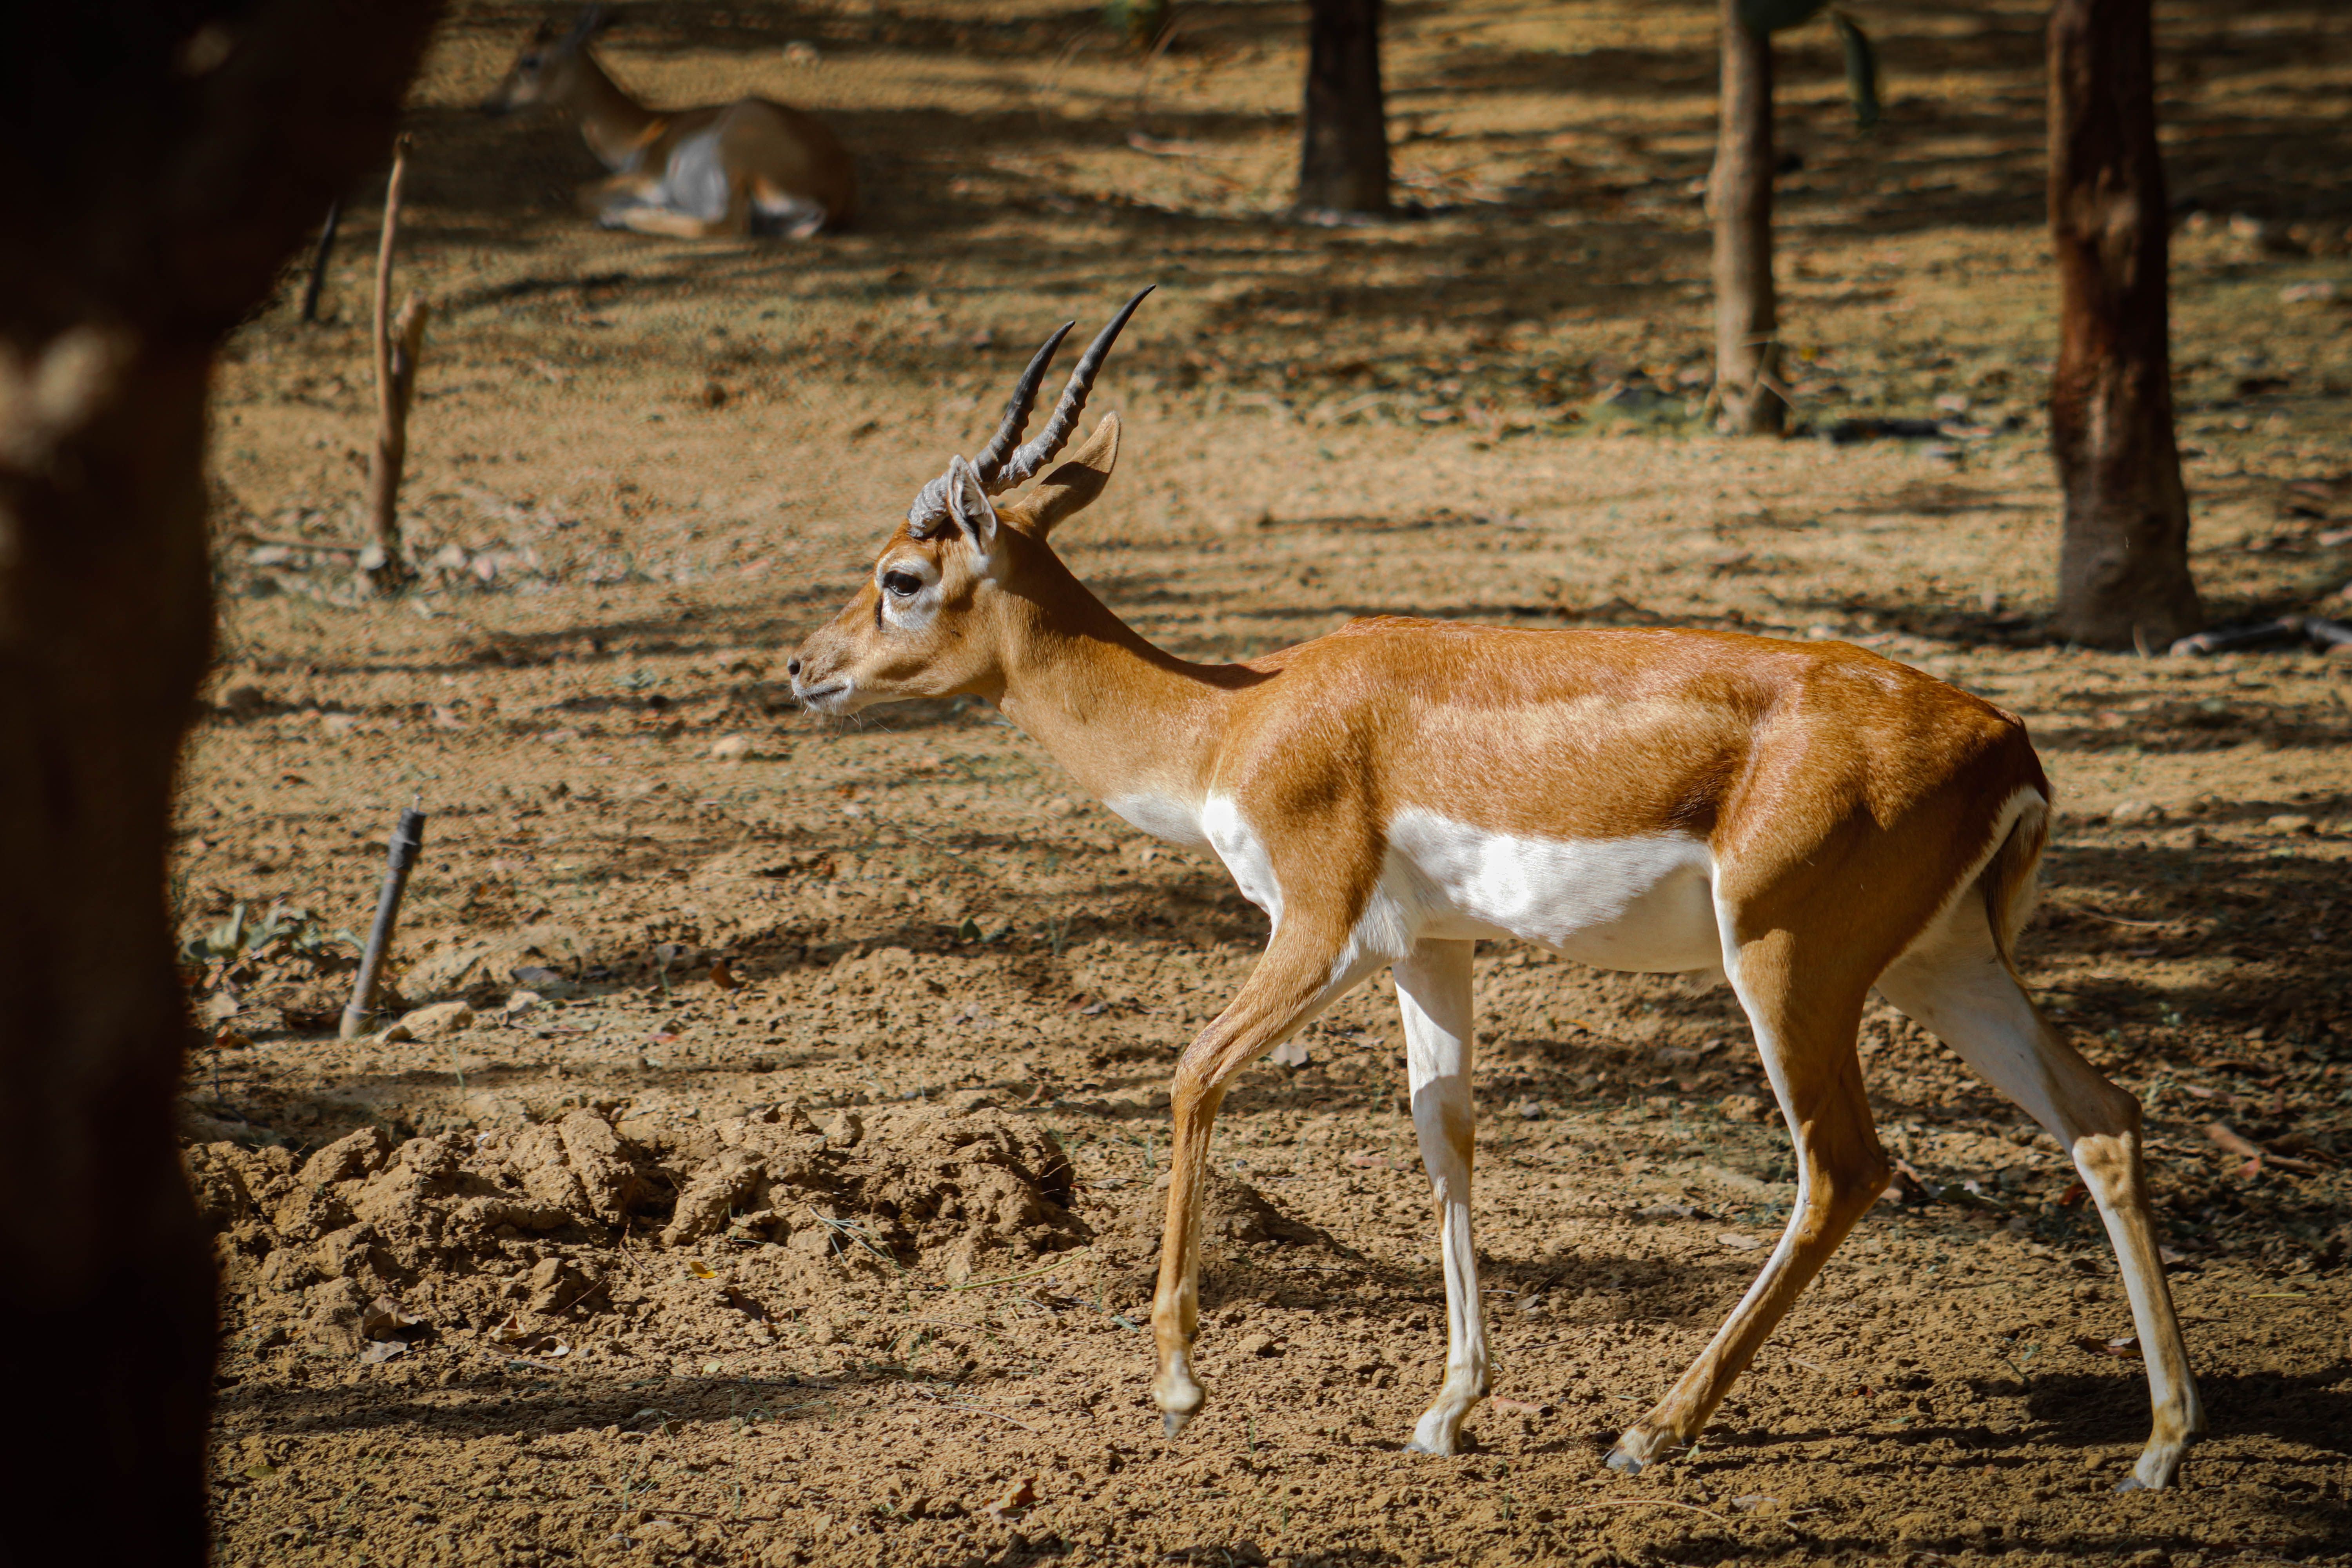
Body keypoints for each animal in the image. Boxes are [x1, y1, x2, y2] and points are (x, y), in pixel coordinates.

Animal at [482, 8, 855, 240]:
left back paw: (626, 218)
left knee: (727, 226)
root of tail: (836, 191)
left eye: (530, 60)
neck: (646, 130)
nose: (488, 105)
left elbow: (582, 194)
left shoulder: (647, 177)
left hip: (737, 145)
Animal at [786, 288, 2204, 1491]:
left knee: (1843, 1168)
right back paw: (2161, 1446)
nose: (805, 667)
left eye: (902, 577)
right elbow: (1445, 1133)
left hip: (1791, 964)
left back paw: (1653, 1431)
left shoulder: (1319, 930)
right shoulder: (1432, 949)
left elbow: (1193, 1073)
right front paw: (1445, 1412)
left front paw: (1181, 1384)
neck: (1233, 721)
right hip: (1942, 963)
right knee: (2101, 1119)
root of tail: (2008, 744)